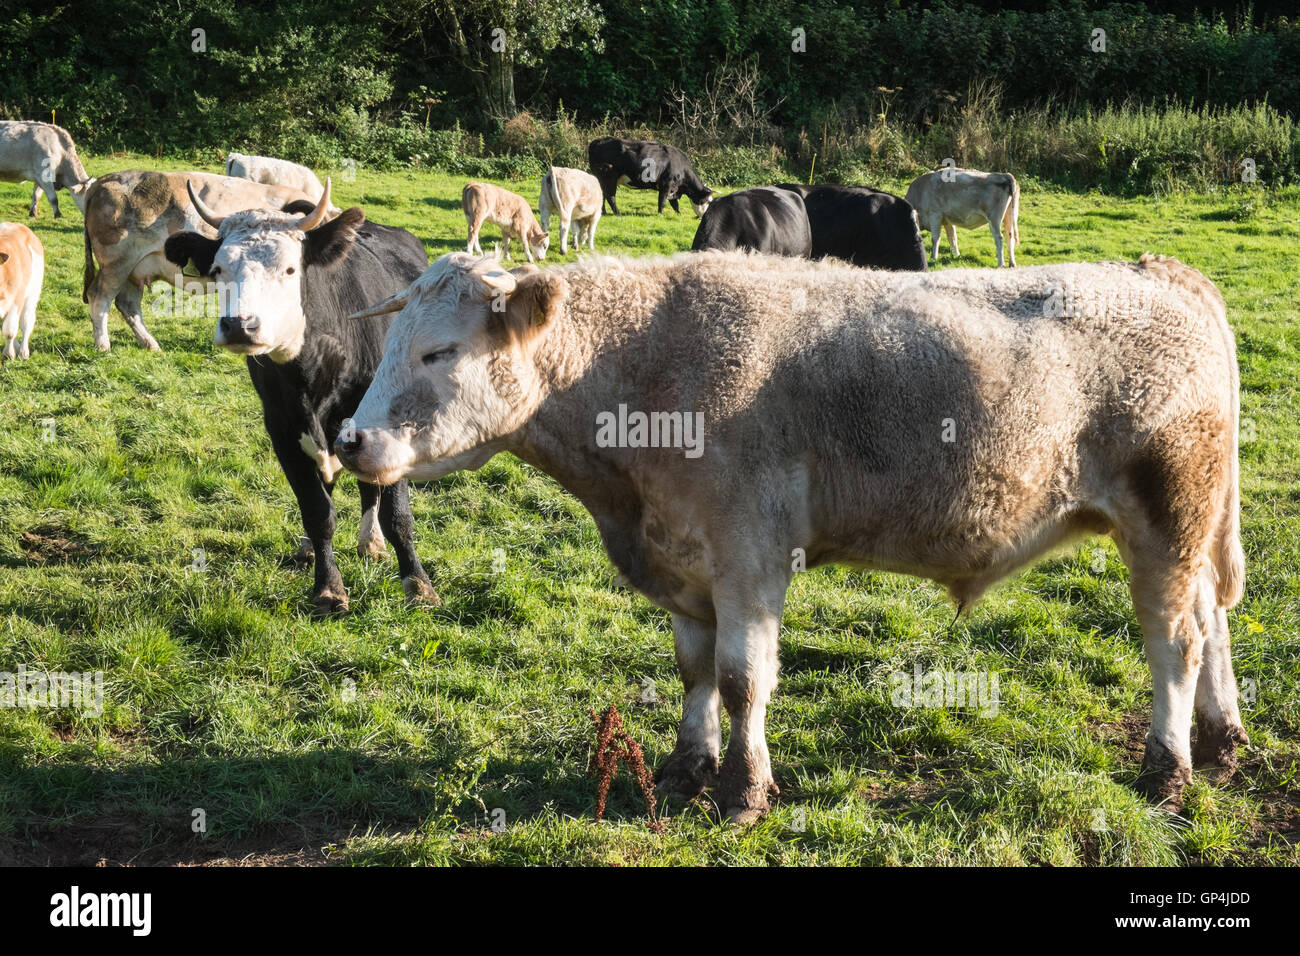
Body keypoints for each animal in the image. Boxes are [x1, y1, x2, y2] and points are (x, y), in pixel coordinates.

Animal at [0, 222, 44, 360]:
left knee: (26, 323)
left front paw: (8, 354)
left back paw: (23, 351)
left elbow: (9, 331)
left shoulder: (17, 299)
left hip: (32, 294)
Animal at [81, 170, 313, 352]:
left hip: (134, 270)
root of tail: (103, 181)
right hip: (117, 264)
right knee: (99, 298)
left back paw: (150, 344)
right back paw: (103, 345)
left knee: (127, 304)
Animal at [161, 180, 438, 616]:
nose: (239, 324)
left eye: (290, 269)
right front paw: (328, 587)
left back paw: (370, 541)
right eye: (218, 269)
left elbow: (398, 515)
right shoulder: (282, 430)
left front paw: (417, 584)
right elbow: (317, 511)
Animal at [337, 249, 1245, 823]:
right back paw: (1222, 739)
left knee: (1173, 641)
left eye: (439, 351)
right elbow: (696, 668)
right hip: (1190, 533)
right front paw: (687, 767)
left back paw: (1169, 768)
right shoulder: (687, 563)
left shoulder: (750, 556)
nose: (350, 439)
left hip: (1165, 520)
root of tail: (1161, 273)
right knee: (1212, 622)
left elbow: (743, 678)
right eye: (389, 344)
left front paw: (743, 792)